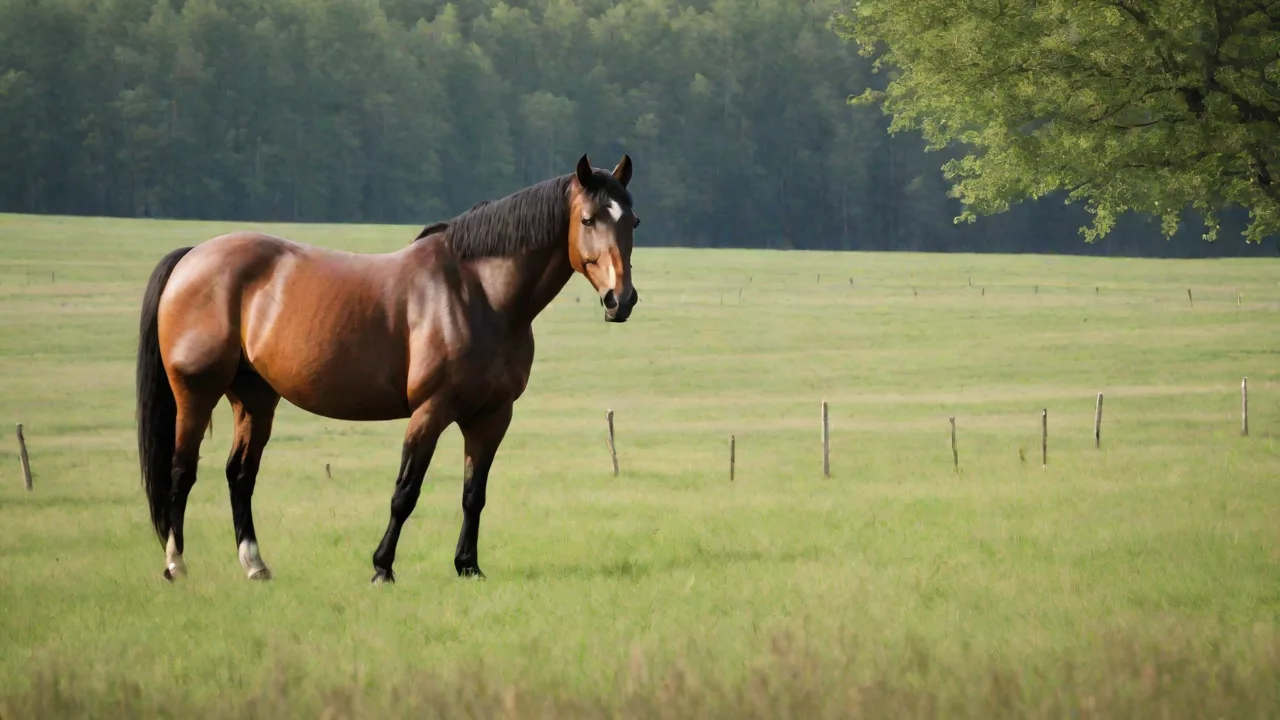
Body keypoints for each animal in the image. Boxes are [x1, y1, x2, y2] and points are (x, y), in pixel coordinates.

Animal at [135, 154, 640, 584]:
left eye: (632, 221)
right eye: (588, 219)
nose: (621, 300)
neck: (479, 293)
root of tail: (192, 257)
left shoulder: (491, 417)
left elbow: (473, 495)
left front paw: (467, 566)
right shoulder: (430, 411)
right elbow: (405, 492)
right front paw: (382, 567)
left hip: (255, 398)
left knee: (240, 475)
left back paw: (255, 565)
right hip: (196, 395)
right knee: (181, 472)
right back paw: (176, 566)